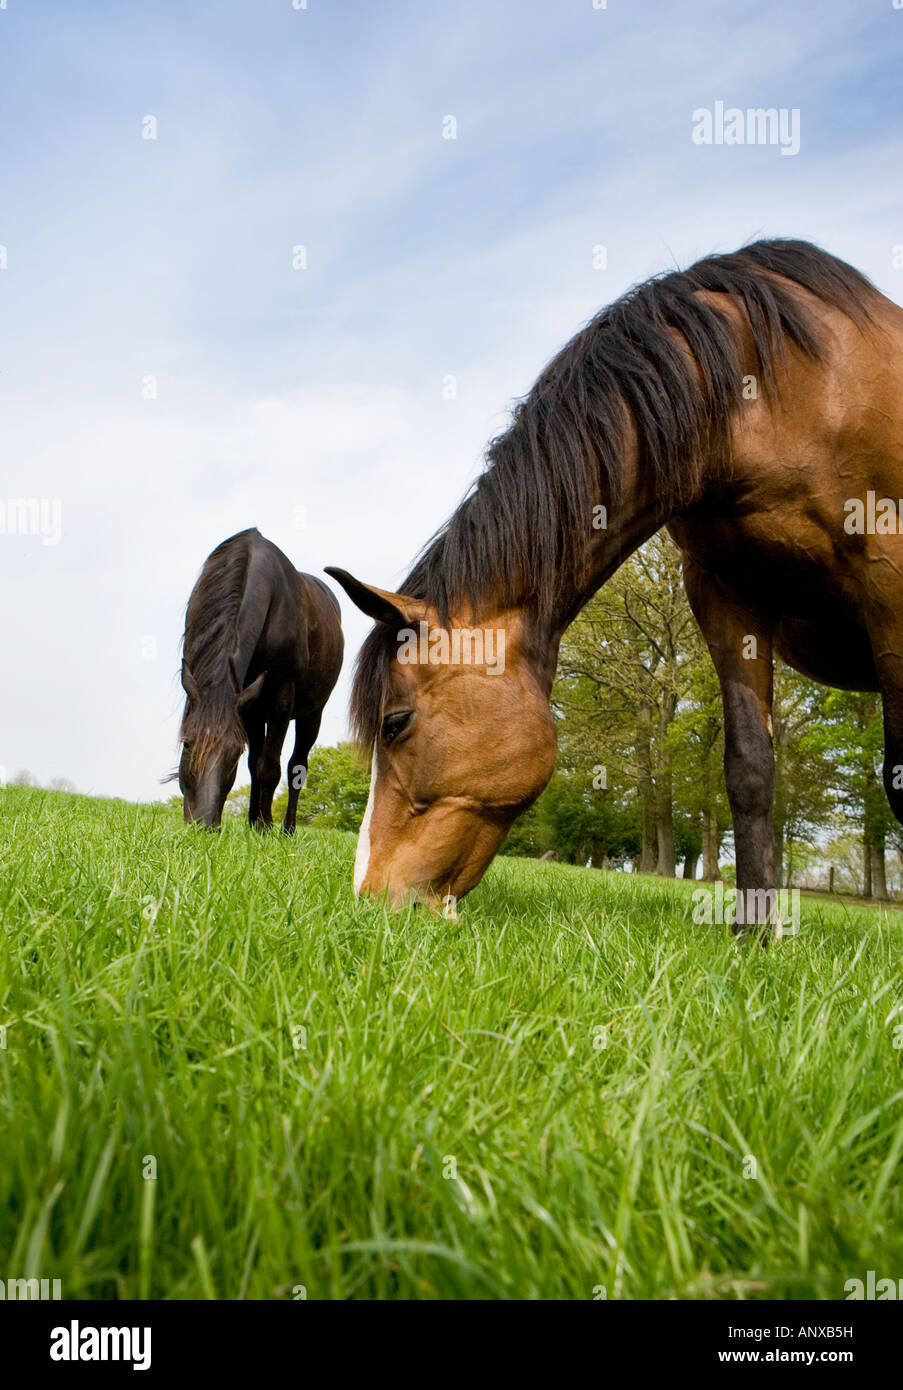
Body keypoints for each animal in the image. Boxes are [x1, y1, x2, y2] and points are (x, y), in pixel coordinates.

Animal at [174, 528, 343, 831]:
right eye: (187, 743)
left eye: (233, 753)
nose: (204, 825)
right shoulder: (246, 705)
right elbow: (254, 763)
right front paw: (254, 823)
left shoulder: (280, 699)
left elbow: (269, 766)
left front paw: (264, 826)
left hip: (312, 714)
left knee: (297, 765)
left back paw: (286, 828)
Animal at [326, 239, 903, 930]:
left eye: (395, 723)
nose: (369, 896)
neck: (781, 388)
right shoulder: (728, 595)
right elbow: (750, 771)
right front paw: (752, 938)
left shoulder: (890, 581)